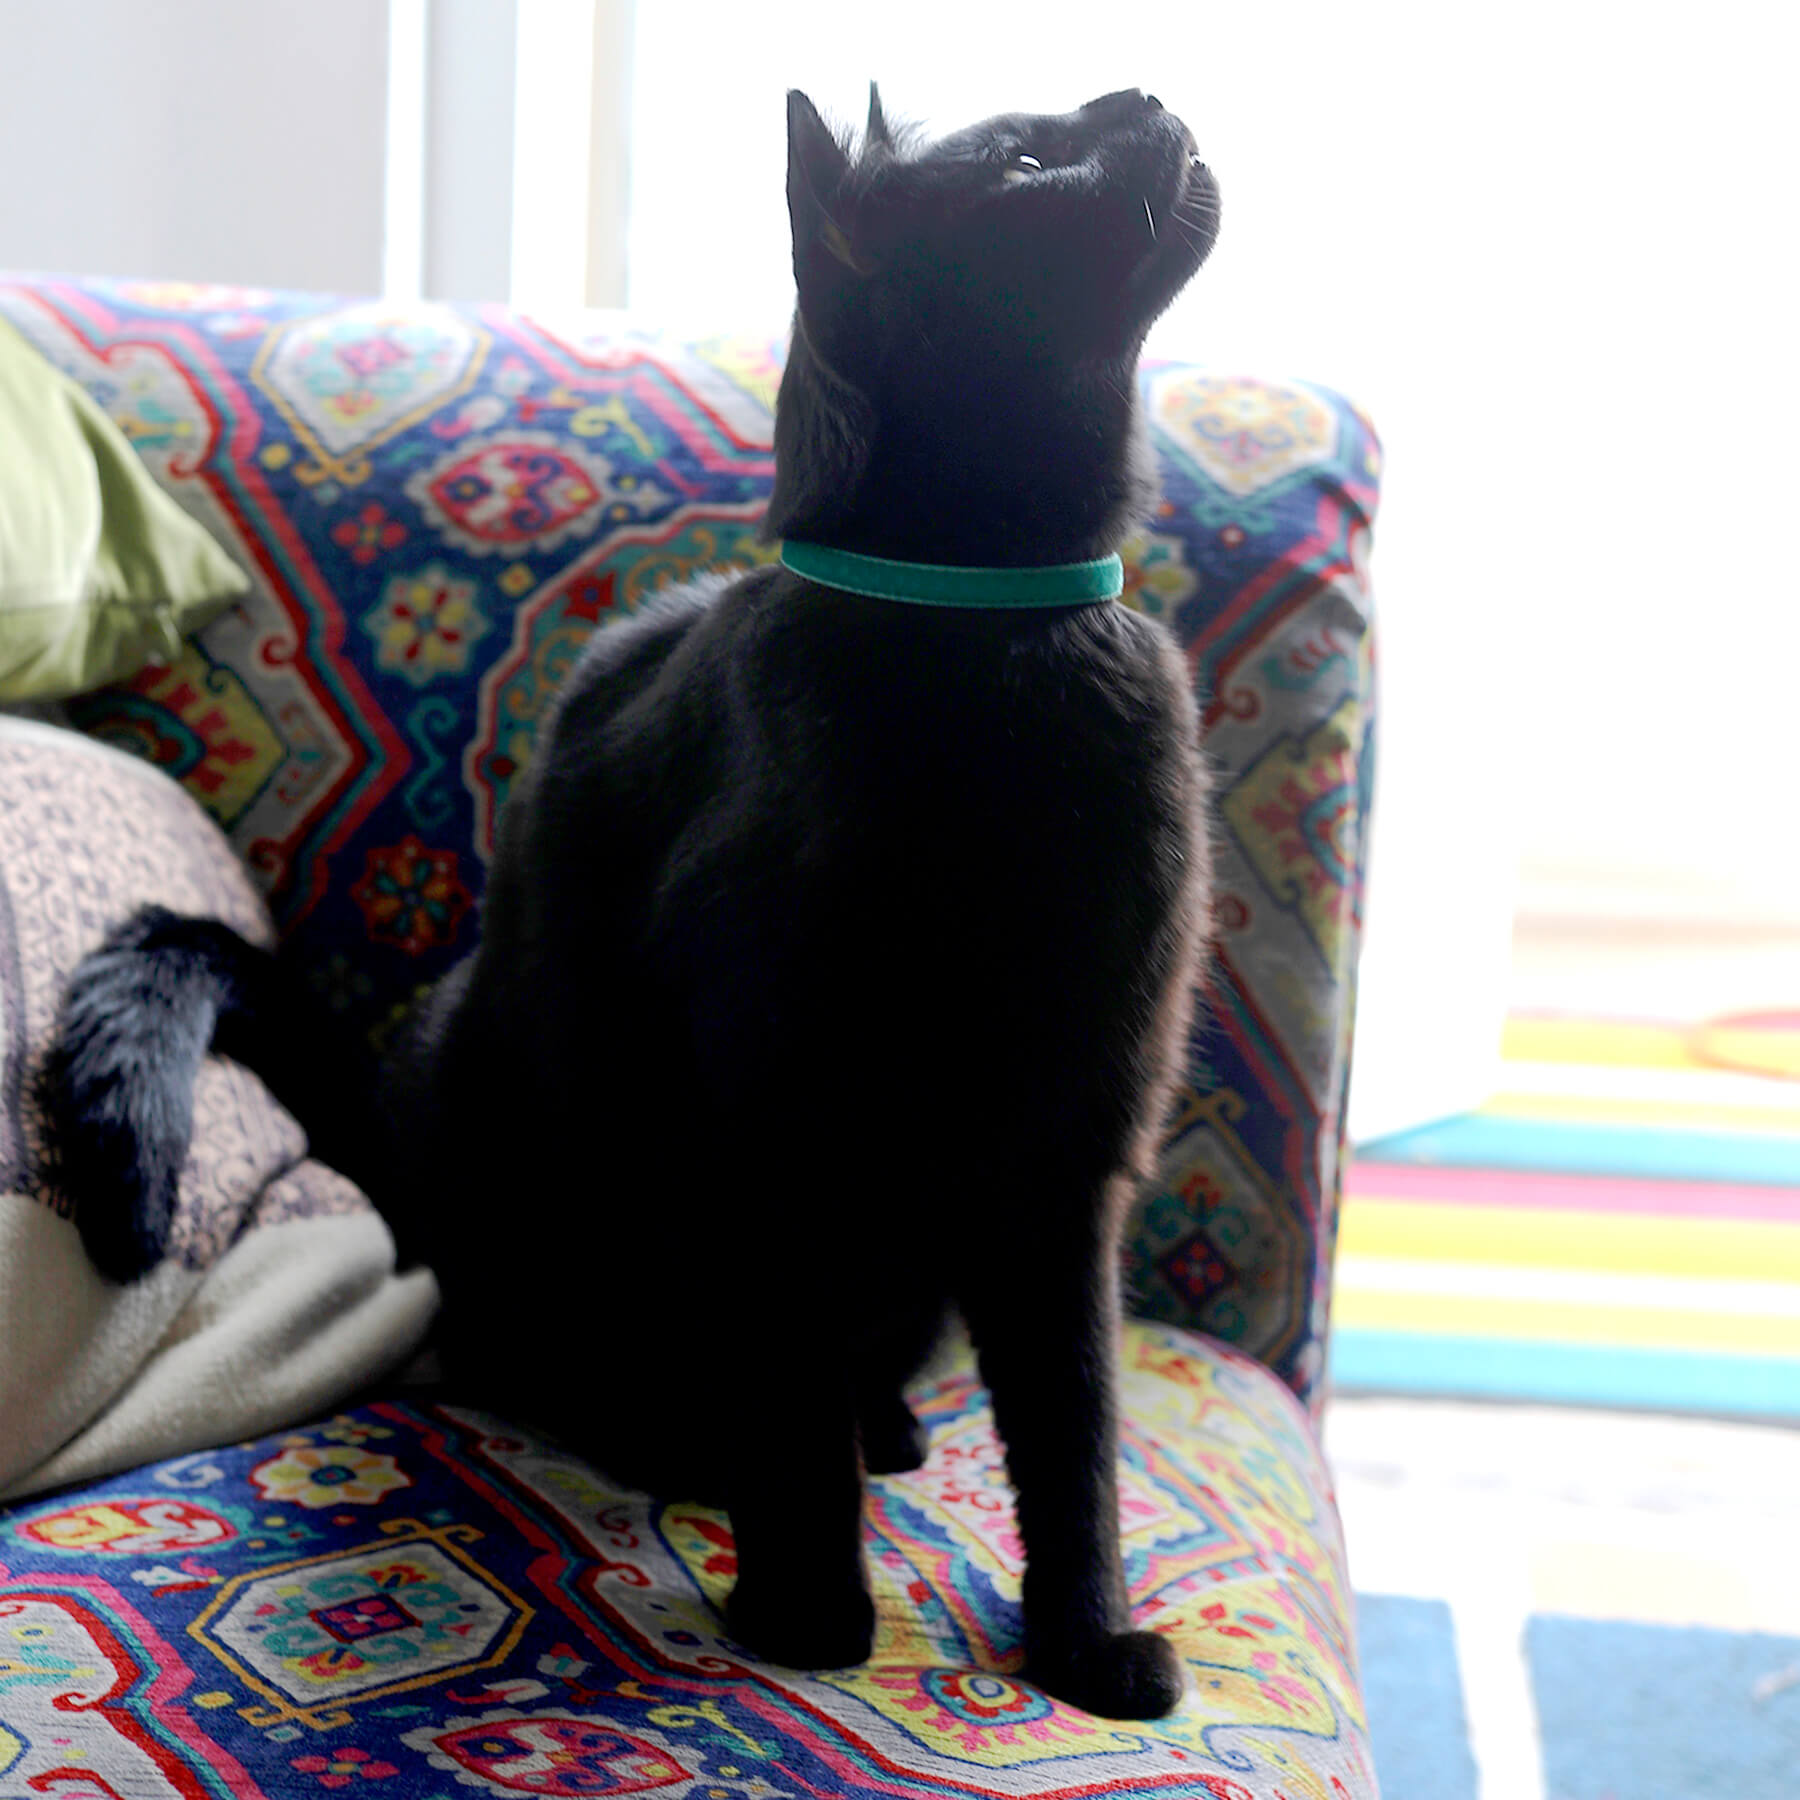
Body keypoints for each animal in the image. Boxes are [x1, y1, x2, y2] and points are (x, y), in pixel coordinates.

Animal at [45, 84, 1224, 1713]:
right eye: (1021, 160)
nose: (1153, 102)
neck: (988, 645)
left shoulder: (1068, 1159)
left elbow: (1075, 1425)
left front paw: (1085, 1646)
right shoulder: (779, 1139)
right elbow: (799, 1400)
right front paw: (808, 1614)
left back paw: (889, 1427)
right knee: (583, 1367)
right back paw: (694, 1445)